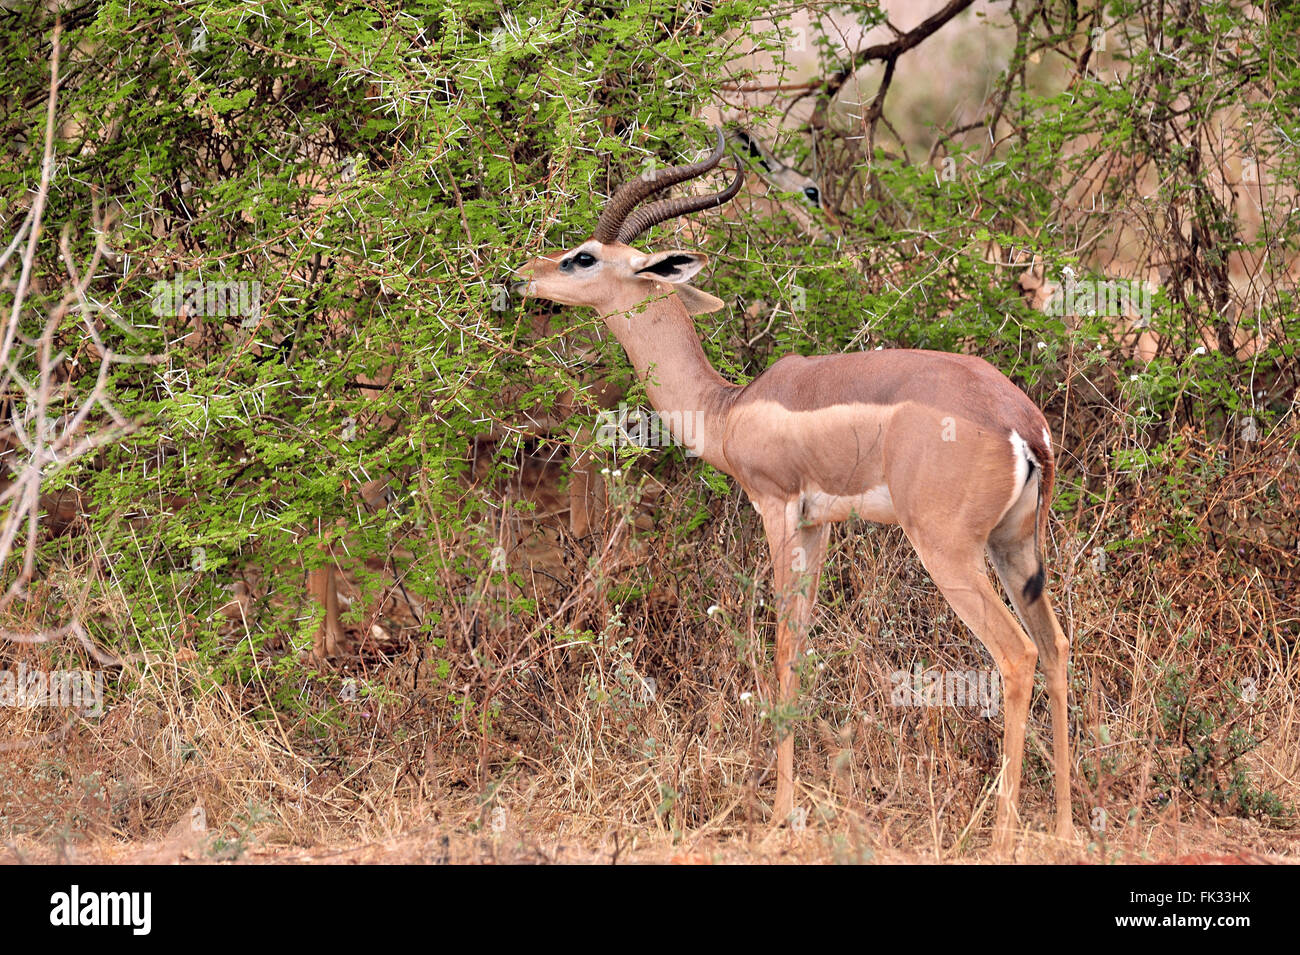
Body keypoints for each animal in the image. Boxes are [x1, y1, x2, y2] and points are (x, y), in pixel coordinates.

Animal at [512, 126, 1073, 848]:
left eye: (583, 257)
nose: (523, 275)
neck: (729, 408)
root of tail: (1022, 424)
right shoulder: (819, 523)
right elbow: (804, 644)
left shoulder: (777, 508)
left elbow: (781, 646)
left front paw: (779, 811)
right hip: (1015, 548)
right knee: (1056, 646)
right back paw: (1066, 824)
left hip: (948, 551)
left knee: (1017, 654)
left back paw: (1002, 834)